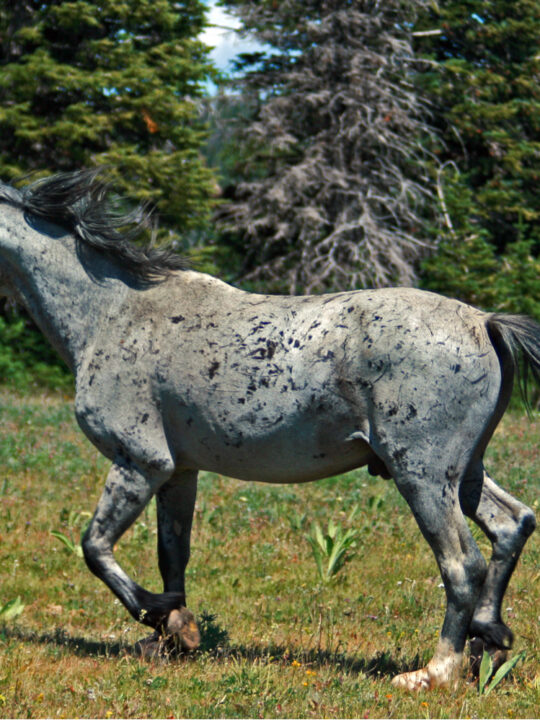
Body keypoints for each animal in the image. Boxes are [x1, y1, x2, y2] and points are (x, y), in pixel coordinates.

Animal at [0, 169, 537, 691]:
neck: (113, 314)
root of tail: (484, 321)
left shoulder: (139, 462)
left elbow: (95, 546)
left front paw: (156, 614)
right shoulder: (178, 472)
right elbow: (171, 554)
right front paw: (175, 632)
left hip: (421, 476)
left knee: (462, 564)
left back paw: (434, 671)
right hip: (463, 473)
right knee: (512, 525)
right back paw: (488, 640)